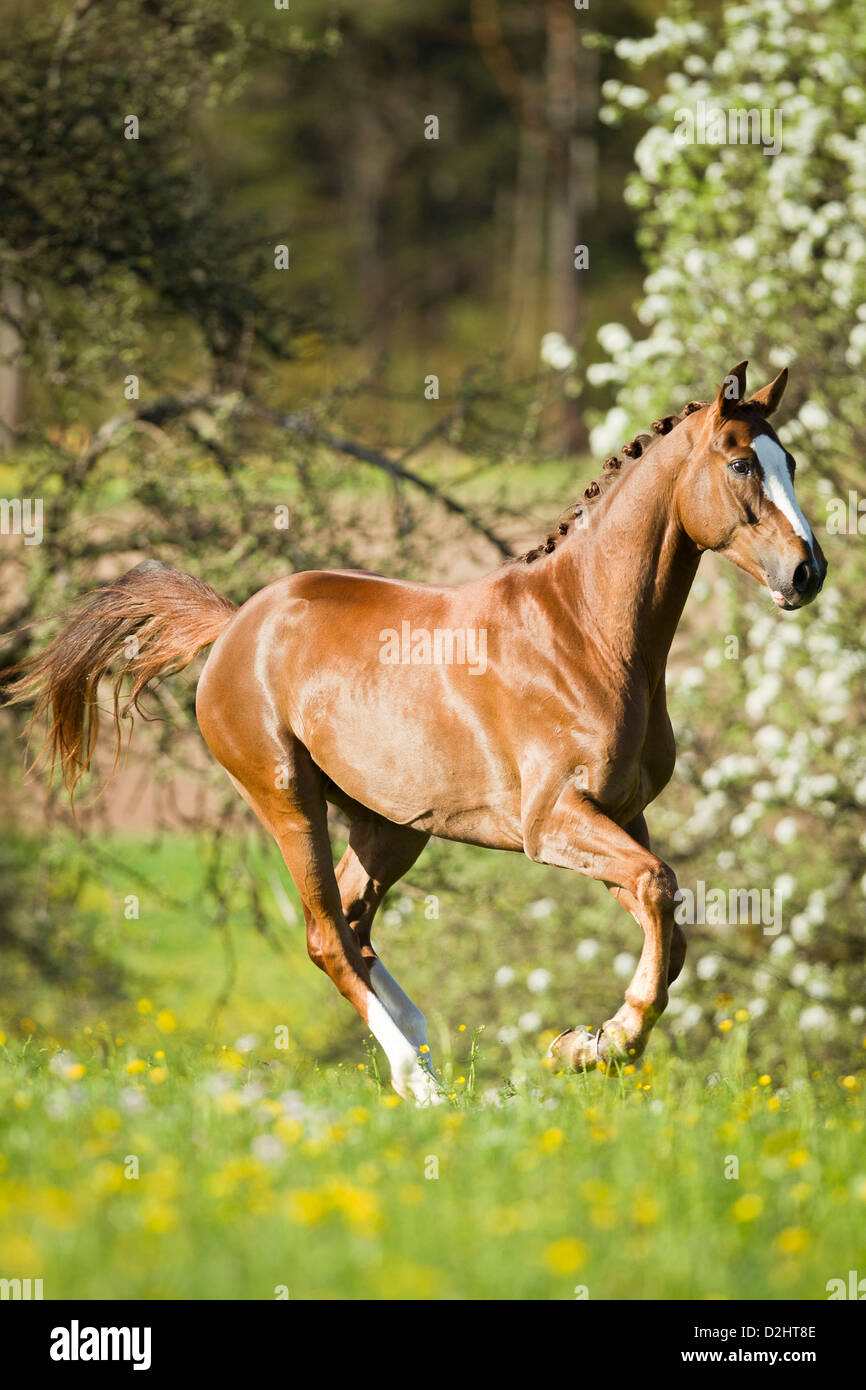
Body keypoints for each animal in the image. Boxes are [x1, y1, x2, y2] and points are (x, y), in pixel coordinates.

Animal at [6, 361, 826, 1103]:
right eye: (742, 462)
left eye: (789, 460)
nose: (807, 572)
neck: (586, 634)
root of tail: (235, 622)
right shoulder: (552, 822)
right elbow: (659, 890)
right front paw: (608, 1044)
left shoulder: (624, 816)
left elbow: (671, 924)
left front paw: (577, 1045)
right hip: (287, 799)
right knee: (327, 935)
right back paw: (420, 1083)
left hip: (391, 826)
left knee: (354, 926)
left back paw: (425, 1052)